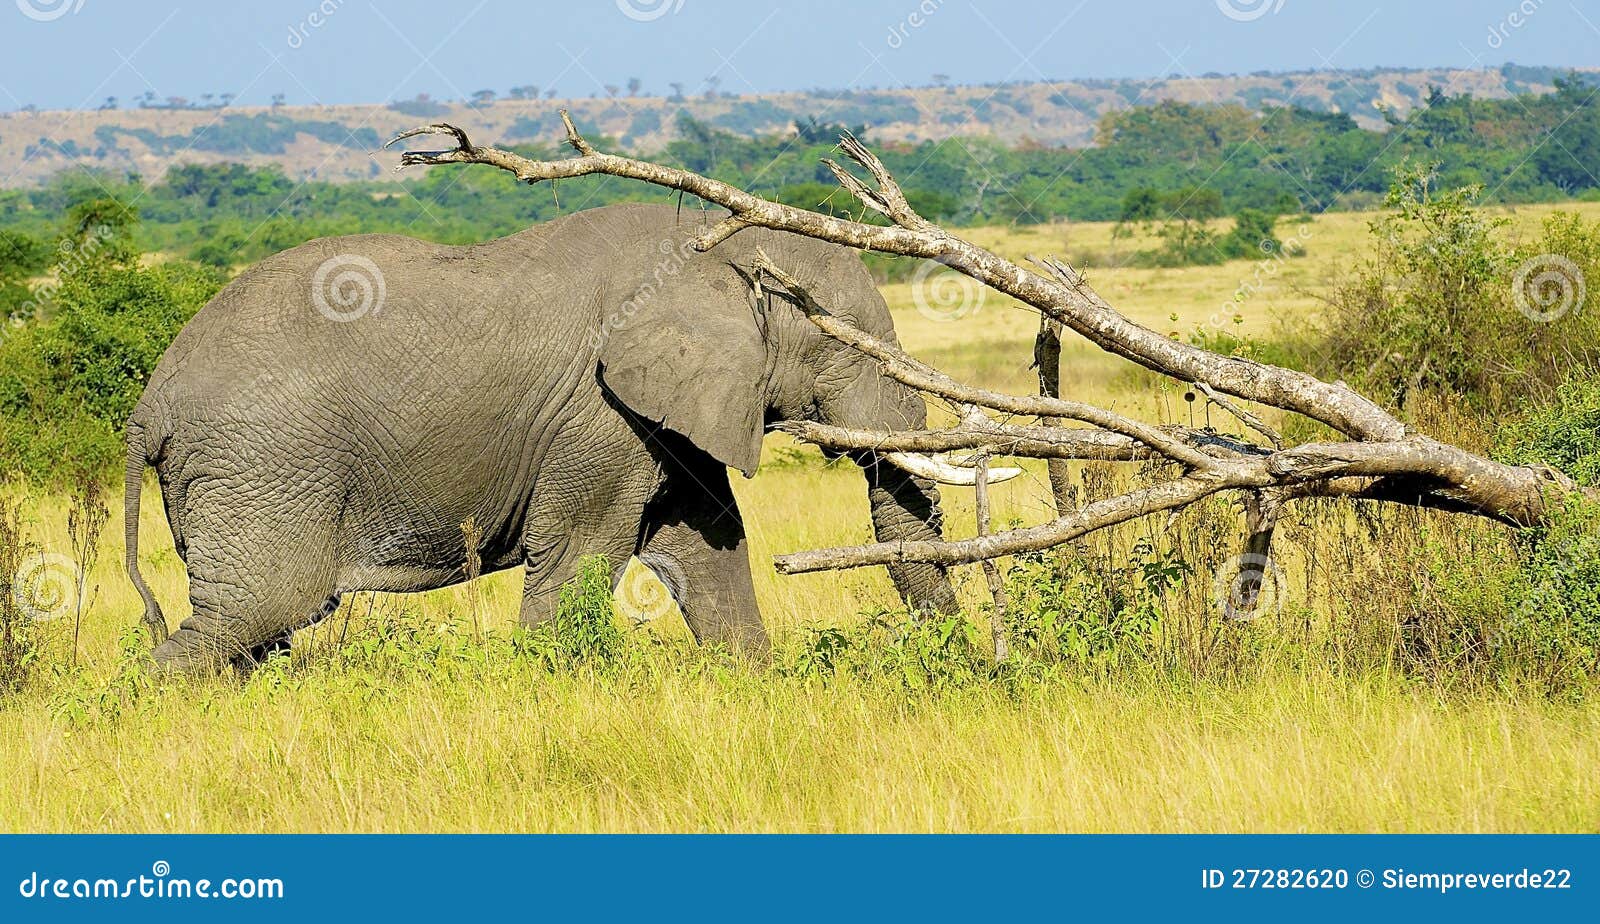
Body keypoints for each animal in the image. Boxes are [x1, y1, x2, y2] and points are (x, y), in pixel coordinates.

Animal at [123, 202, 987, 672]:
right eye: (843, 342)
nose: (972, 660)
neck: (713, 243)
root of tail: (150, 402)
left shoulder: (659, 421)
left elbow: (706, 549)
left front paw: (756, 688)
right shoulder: (598, 414)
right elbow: (579, 557)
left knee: (251, 628)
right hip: (264, 459)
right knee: (264, 608)